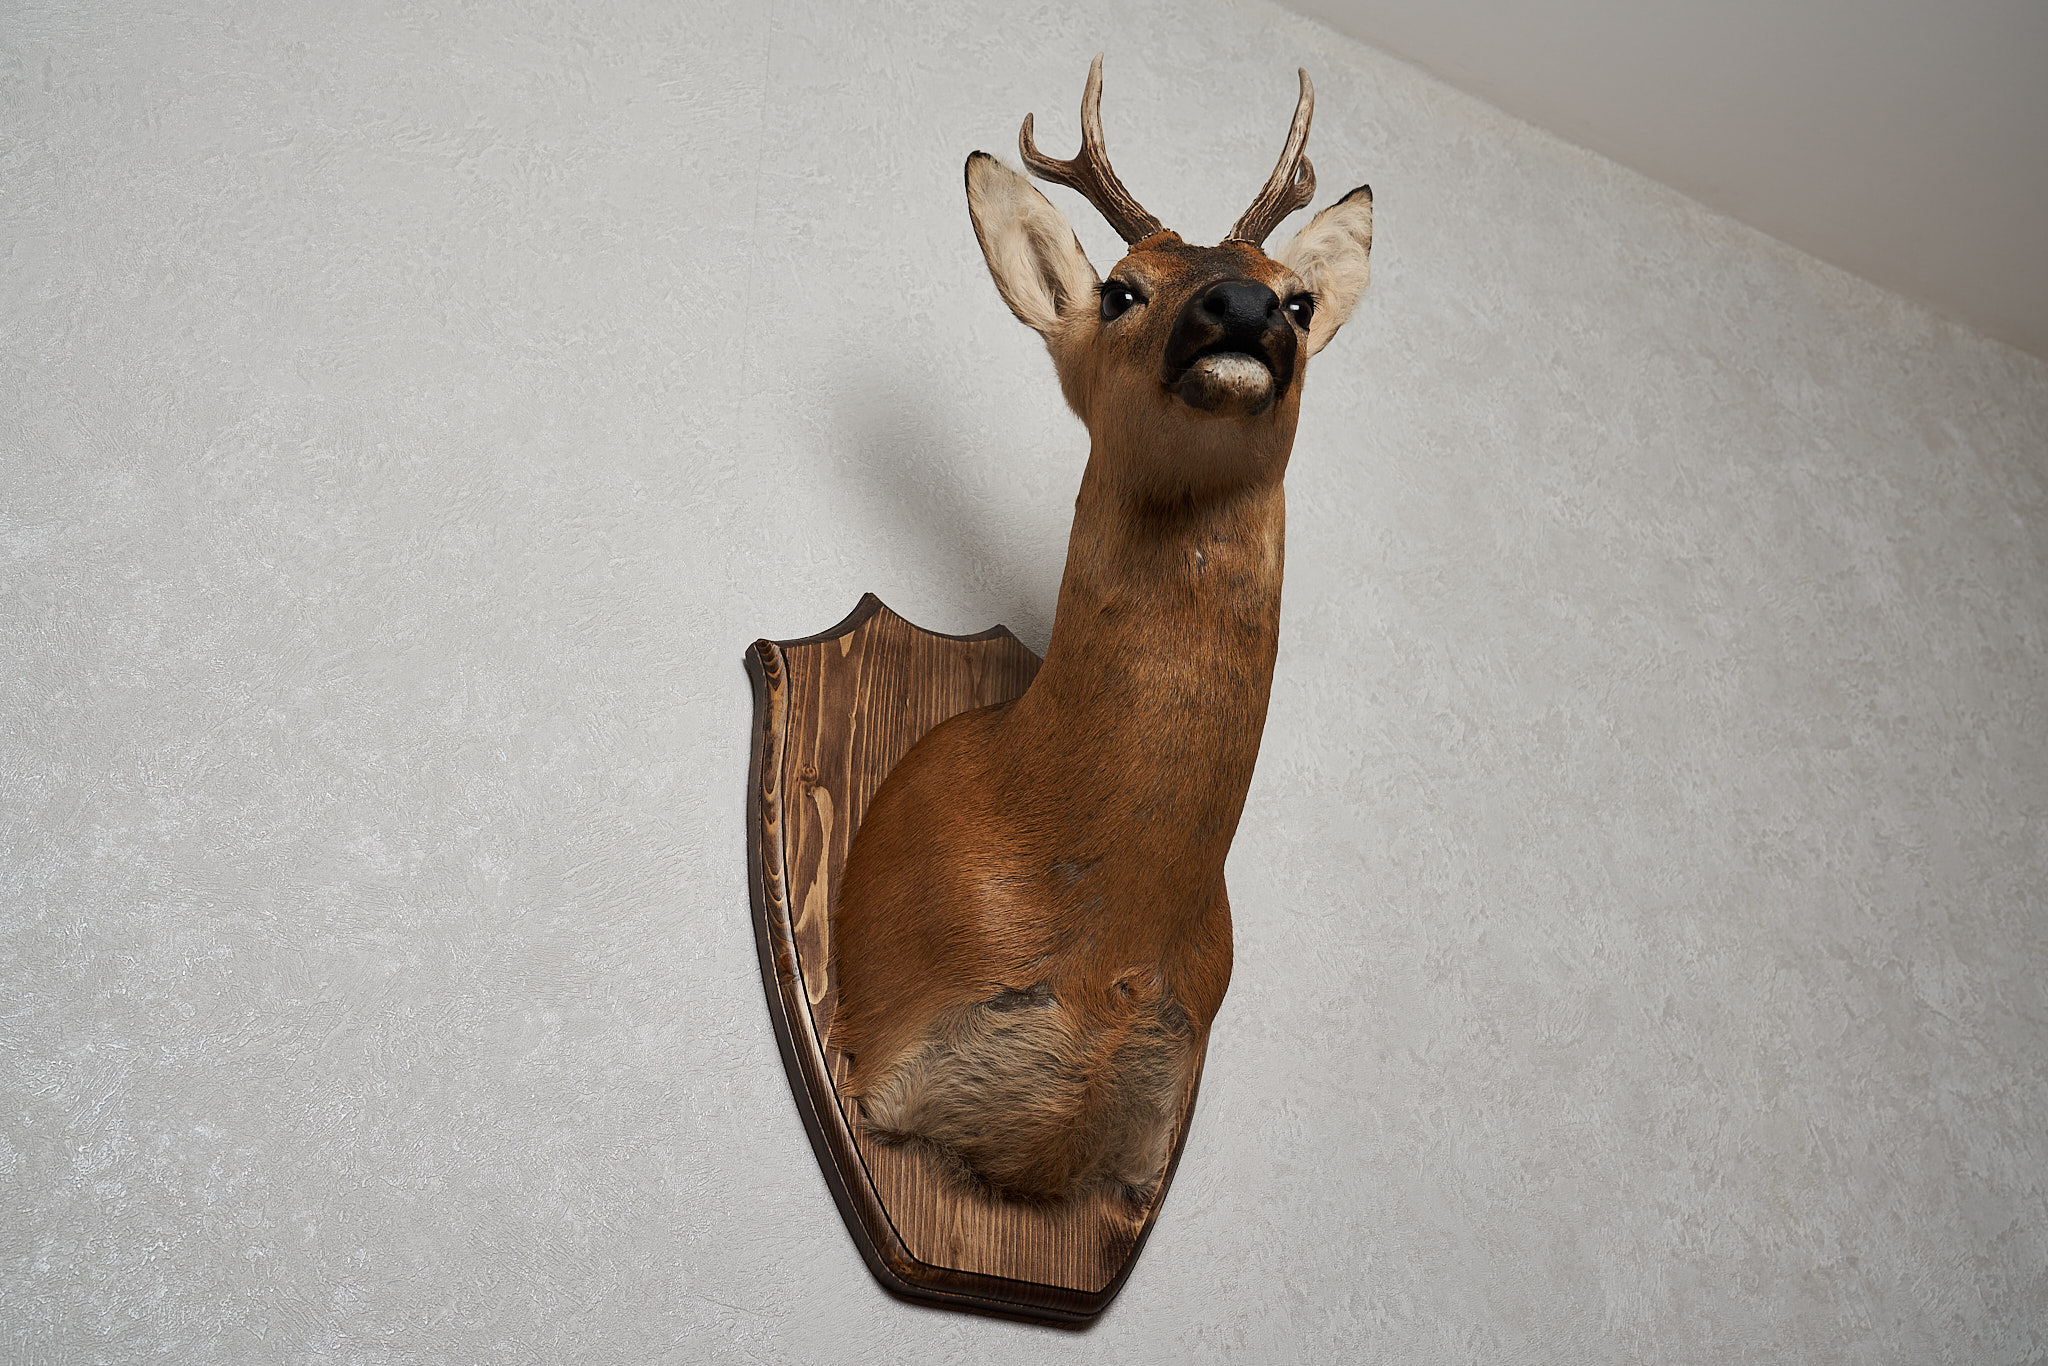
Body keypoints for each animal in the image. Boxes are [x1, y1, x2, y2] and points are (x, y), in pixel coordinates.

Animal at [830, 56, 1374, 1206]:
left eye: (1298, 297)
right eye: (1121, 288)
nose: (1242, 304)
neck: (1110, 947)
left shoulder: (1148, 1122)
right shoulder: (889, 1049)